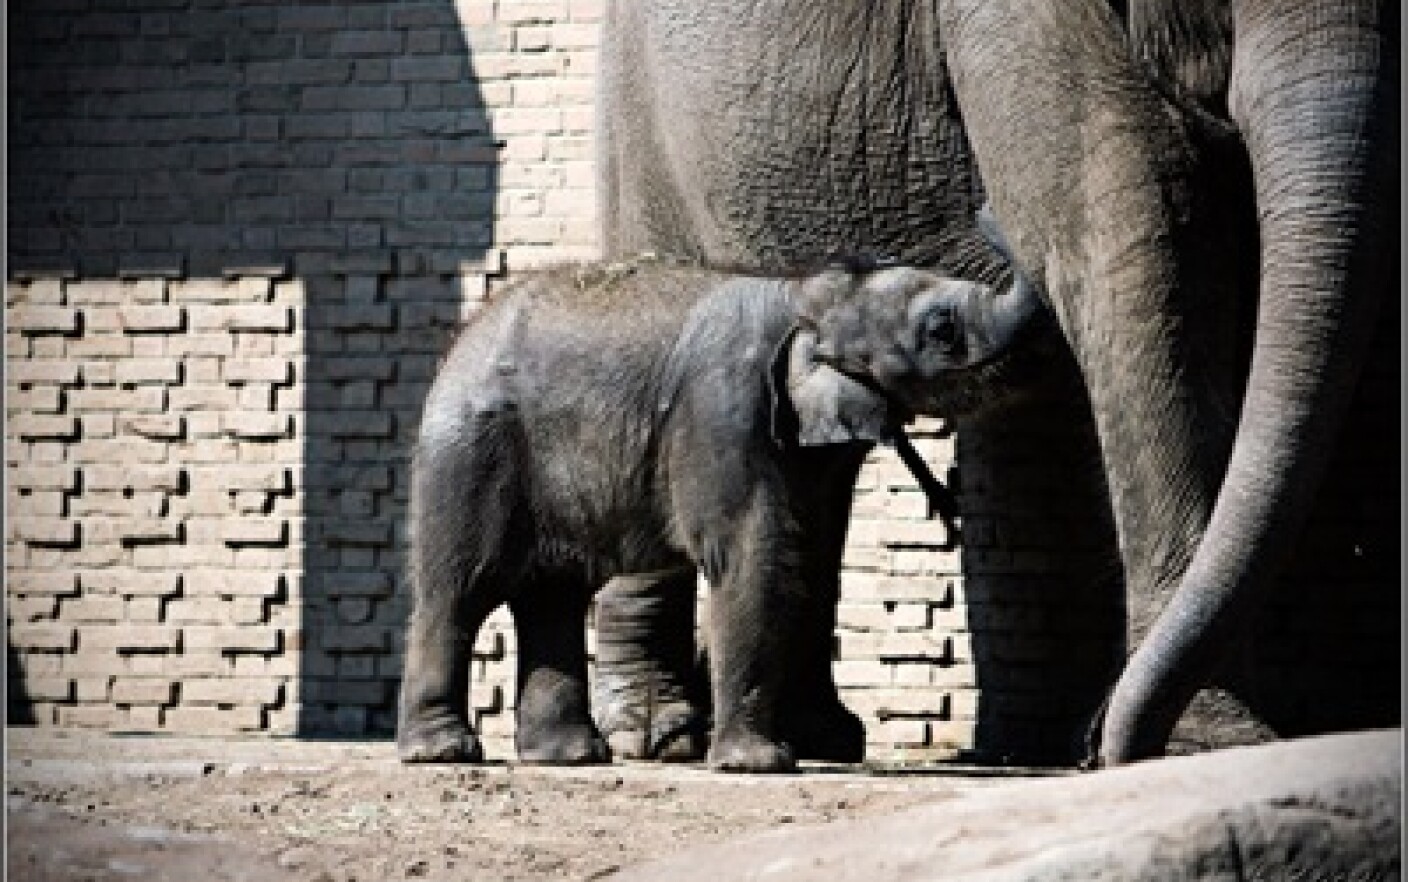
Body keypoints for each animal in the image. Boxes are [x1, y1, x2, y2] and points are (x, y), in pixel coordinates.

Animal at [395, 252, 1046, 772]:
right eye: (941, 329)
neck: (803, 292)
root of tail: (461, 342)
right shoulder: (723, 409)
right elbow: (751, 555)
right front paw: (759, 765)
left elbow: (803, 559)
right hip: (469, 450)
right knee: (462, 589)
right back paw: (443, 753)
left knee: (552, 595)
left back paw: (569, 756)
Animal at [592, 0, 1399, 766]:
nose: (1097, 745)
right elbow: (1150, 263)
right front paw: (1215, 741)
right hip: (639, 141)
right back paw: (658, 732)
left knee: (820, 455)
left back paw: (814, 733)